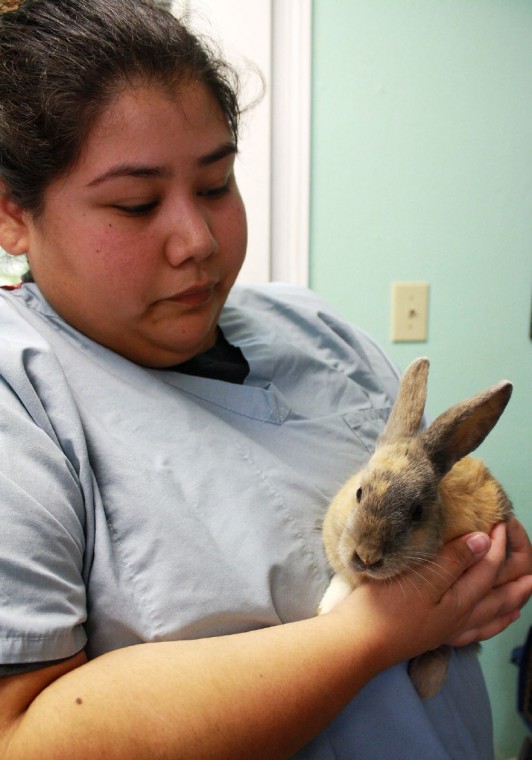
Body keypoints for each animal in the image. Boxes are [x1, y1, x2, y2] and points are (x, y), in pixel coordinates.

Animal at [318, 356, 513, 700]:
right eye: (359, 492)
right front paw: (326, 608)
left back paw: (426, 682)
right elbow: (343, 579)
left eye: (417, 512)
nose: (366, 557)